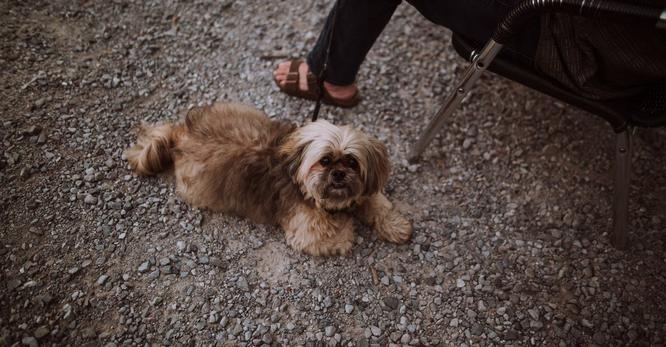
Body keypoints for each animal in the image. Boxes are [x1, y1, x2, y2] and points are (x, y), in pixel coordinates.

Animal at [124, 103, 410, 256]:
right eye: (325, 161)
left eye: (352, 162)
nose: (338, 174)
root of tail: (181, 135)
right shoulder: (309, 233)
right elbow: (343, 233)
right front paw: (347, 222)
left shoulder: (364, 191)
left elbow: (378, 205)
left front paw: (395, 225)